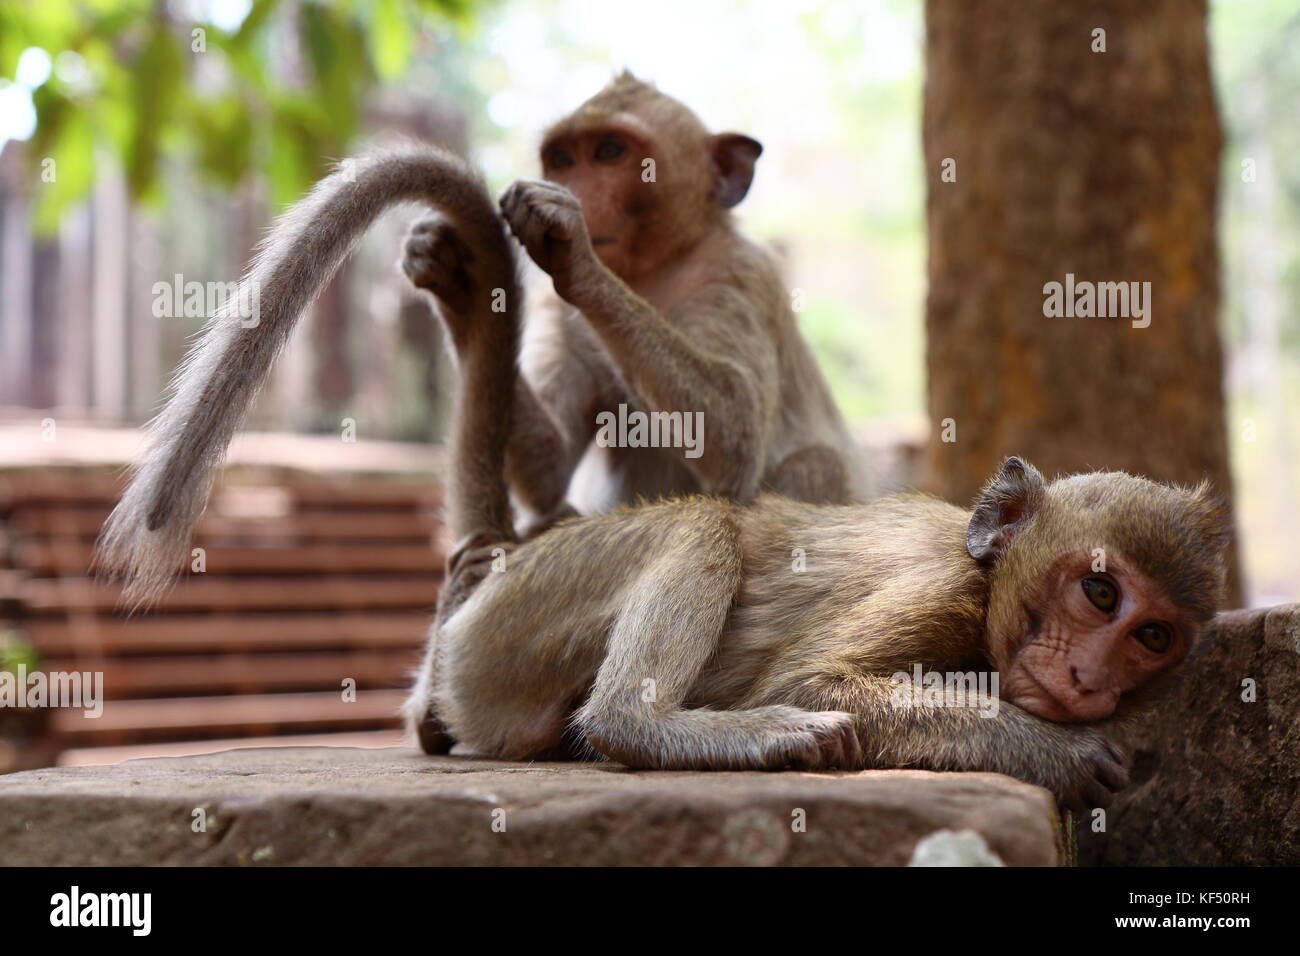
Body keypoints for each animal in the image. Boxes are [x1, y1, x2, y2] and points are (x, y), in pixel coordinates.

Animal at [402, 72, 866, 536]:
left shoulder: (741, 275)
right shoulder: (554, 309)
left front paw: (576, 252)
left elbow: (738, 438)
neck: (649, 272)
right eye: (562, 158)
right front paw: (459, 283)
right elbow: (552, 468)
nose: (576, 191)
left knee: (819, 463)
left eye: (609, 151)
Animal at [406, 281, 1231, 809]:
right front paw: (1056, 753)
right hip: (518, 613)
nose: (1091, 678)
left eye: (1152, 637)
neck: (987, 576)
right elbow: (808, 684)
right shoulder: (936, 590)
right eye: (1099, 592)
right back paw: (658, 727)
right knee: (702, 527)